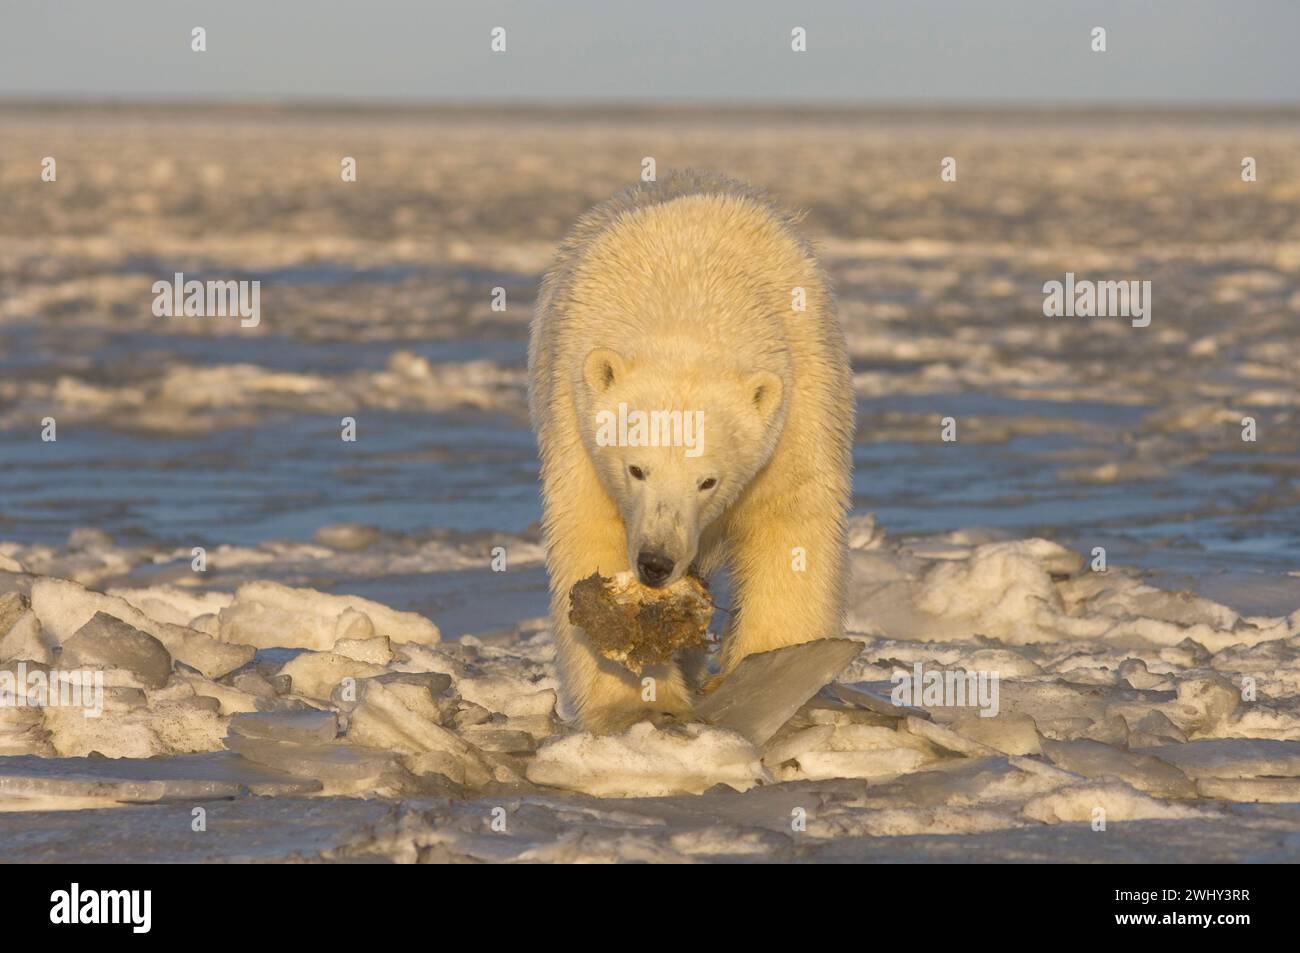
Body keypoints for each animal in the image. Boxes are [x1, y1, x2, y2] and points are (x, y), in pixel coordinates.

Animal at [528, 171, 854, 732]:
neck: (691, 306)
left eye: (708, 480)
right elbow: (587, 528)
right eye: (636, 469)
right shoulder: (576, 414)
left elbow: (790, 524)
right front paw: (639, 702)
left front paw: (786, 677)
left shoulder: (798, 406)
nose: (656, 562)